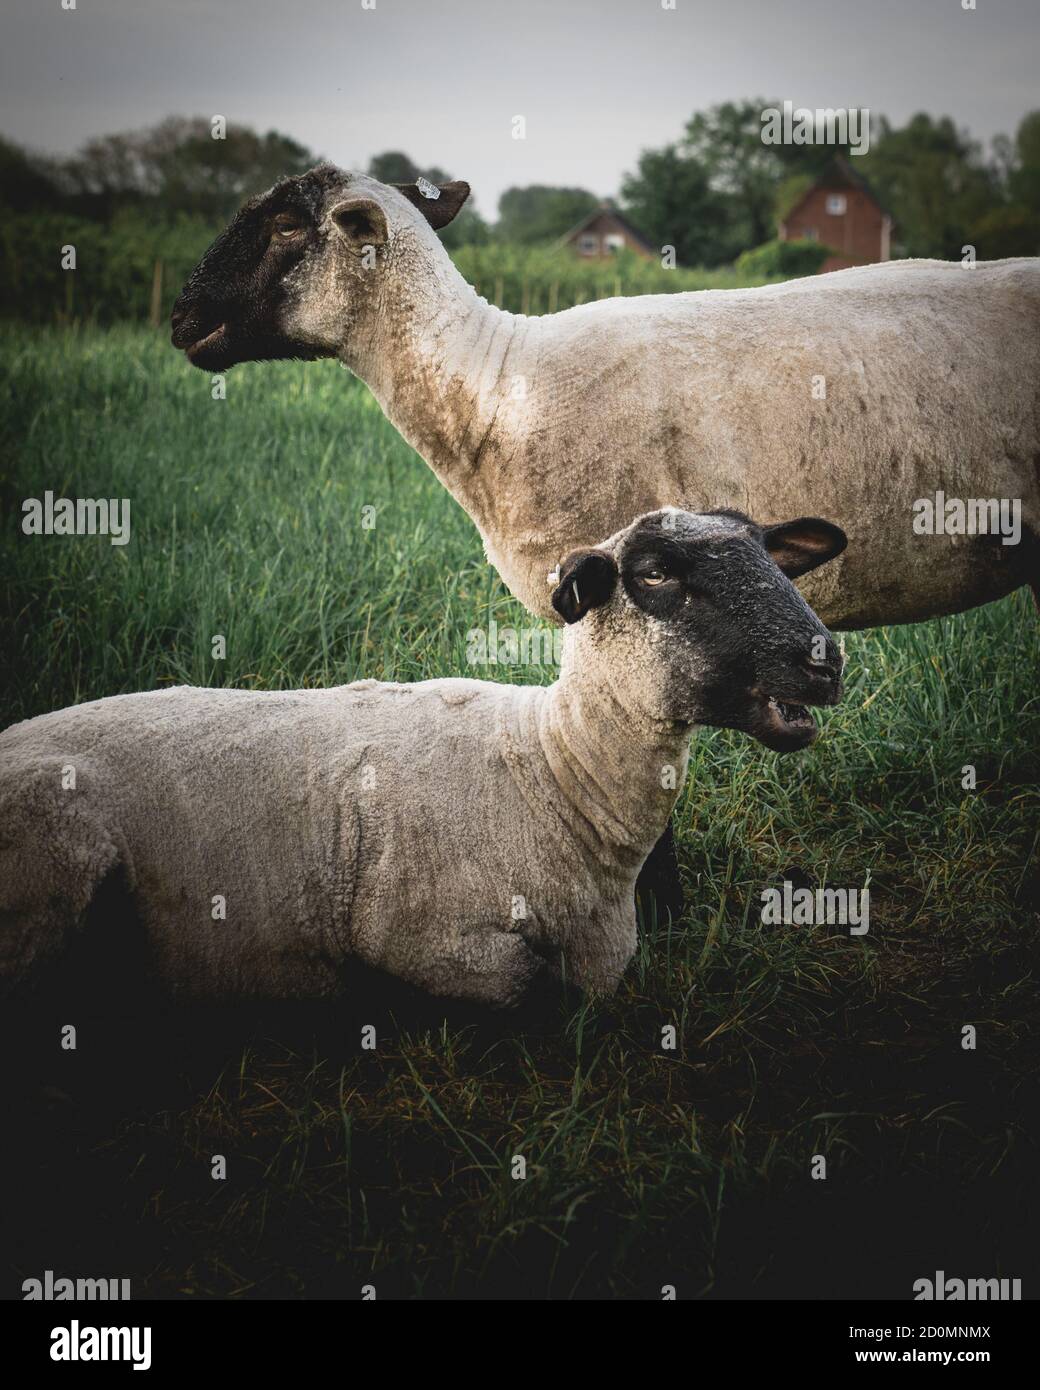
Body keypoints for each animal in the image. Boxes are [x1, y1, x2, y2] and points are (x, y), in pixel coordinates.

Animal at [0, 509, 845, 1008]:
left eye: (772, 555)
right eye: (656, 574)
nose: (826, 659)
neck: (554, 776)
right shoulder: (419, 936)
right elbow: (527, 987)